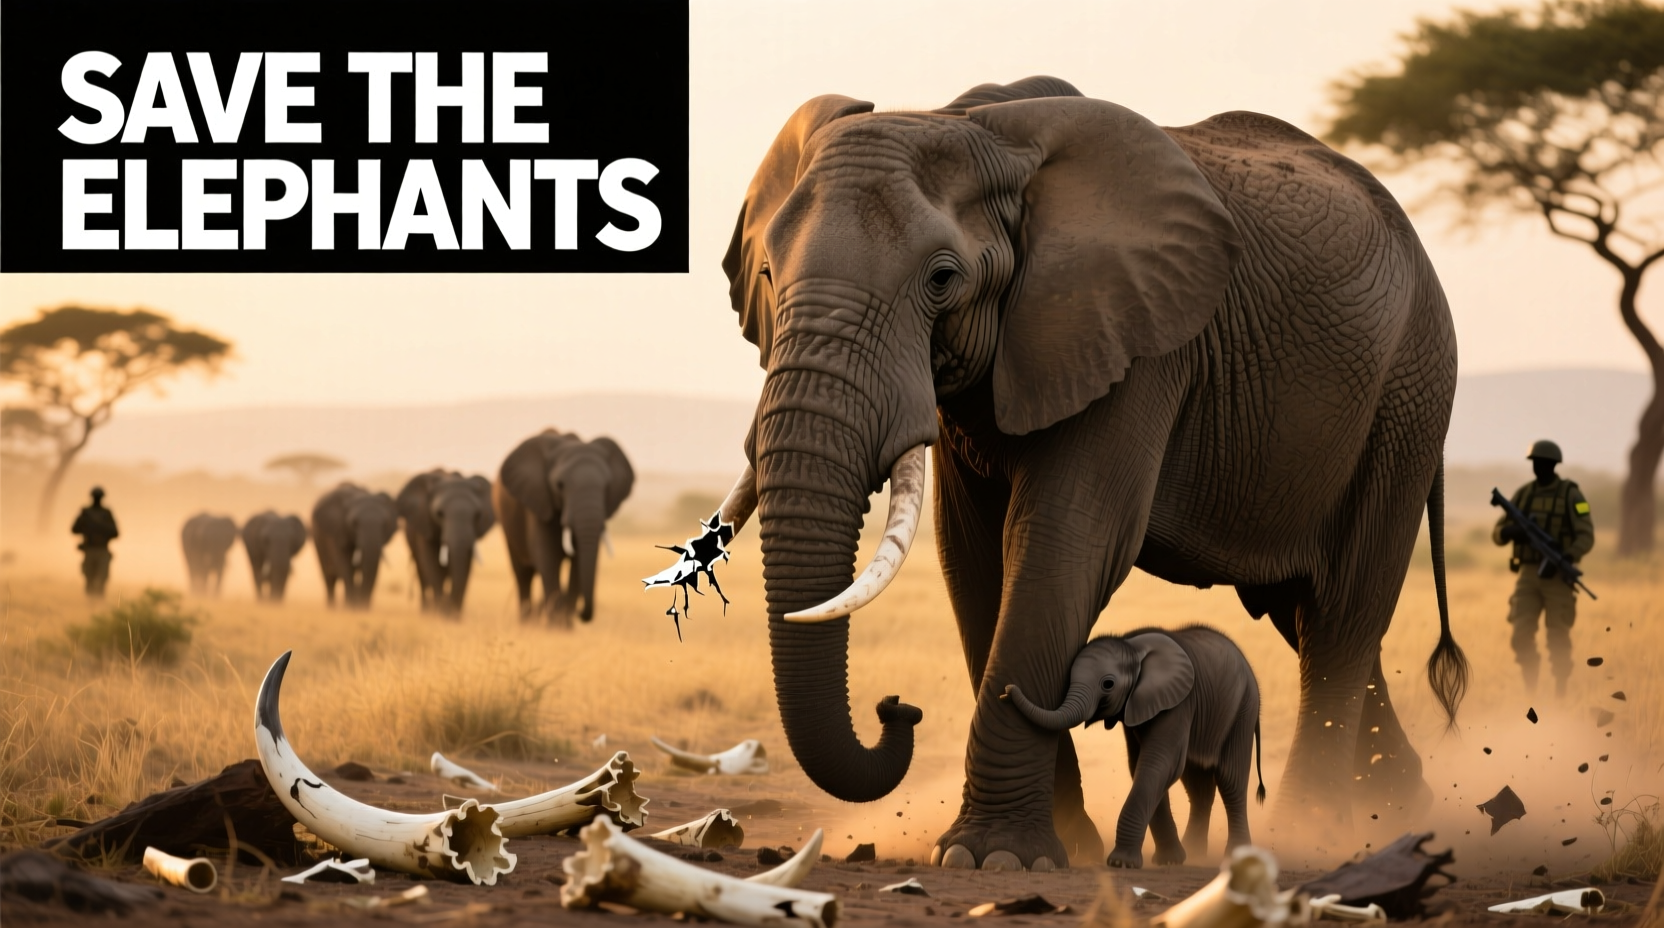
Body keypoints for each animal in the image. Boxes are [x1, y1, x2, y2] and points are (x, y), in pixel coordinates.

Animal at [397, 470, 495, 616]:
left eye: (477, 515)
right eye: (439, 514)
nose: (448, 605)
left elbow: (465, 566)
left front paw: (453, 616)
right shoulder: (424, 522)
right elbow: (431, 562)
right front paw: (441, 613)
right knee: (422, 573)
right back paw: (427, 611)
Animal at [494, 429, 634, 624]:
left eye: (607, 486)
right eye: (560, 485)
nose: (582, 614)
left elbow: (578, 562)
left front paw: (566, 626)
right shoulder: (540, 501)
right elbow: (549, 557)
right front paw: (556, 627)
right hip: (508, 526)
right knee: (523, 574)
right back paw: (526, 623)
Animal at [1004, 627, 1264, 869]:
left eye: (1108, 684)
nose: (1006, 690)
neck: (1132, 646)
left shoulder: (1179, 703)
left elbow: (1160, 763)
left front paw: (1121, 863)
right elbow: (1142, 764)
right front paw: (1169, 860)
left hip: (1244, 706)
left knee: (1230, 779)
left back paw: (1233, 857)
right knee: (1197, 783)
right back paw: (1195, 854)